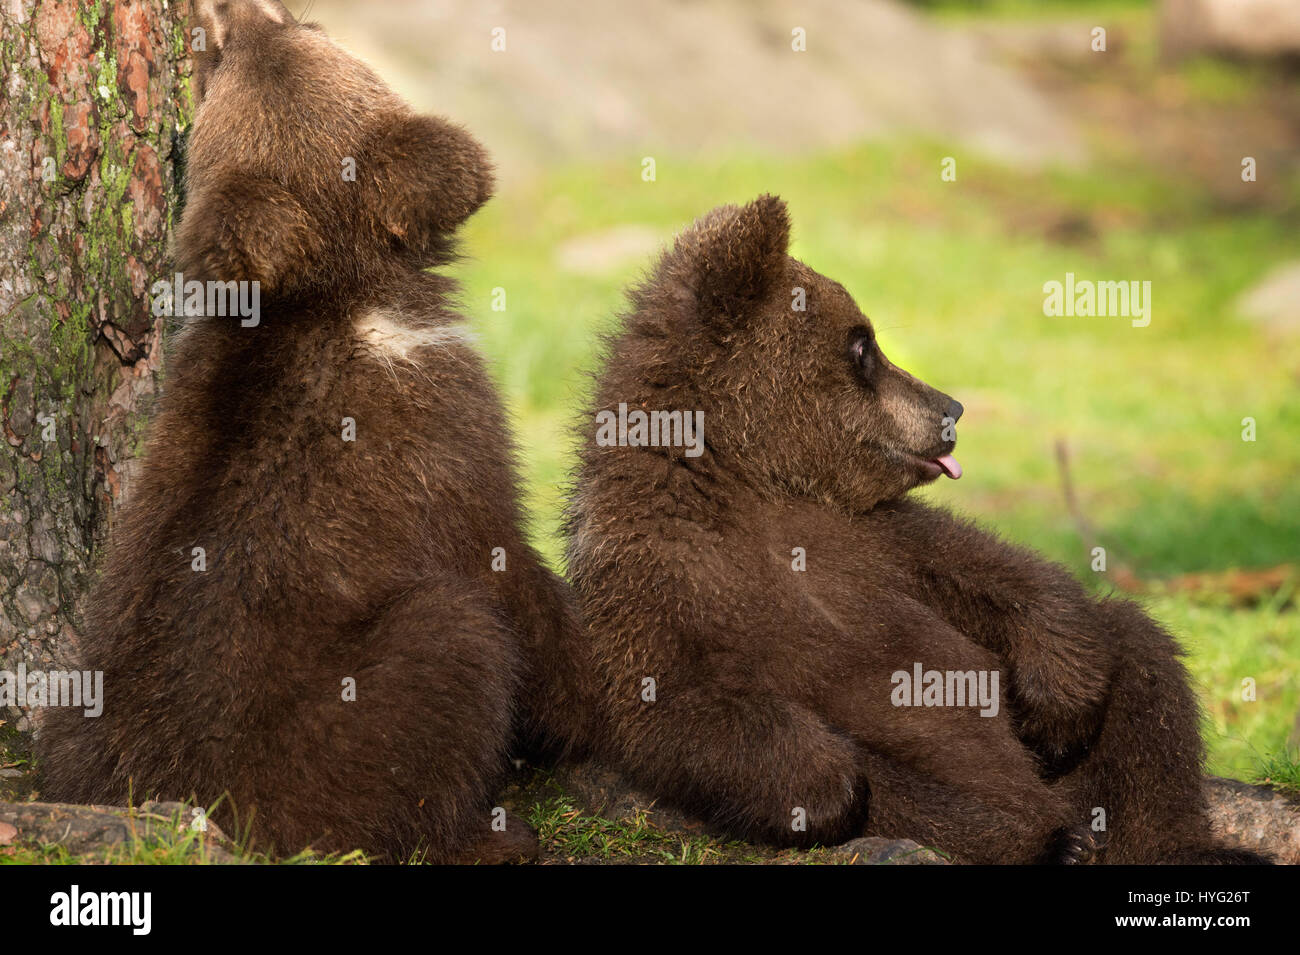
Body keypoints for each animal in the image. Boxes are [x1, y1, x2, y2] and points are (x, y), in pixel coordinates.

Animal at [37, 0, 581, 863]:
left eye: (289, 29)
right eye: (225, 59)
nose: (222, 10)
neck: (335, 288)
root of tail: (198, 811)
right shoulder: (445, 445)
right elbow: (511, 572)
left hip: (79, 711)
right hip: (338, 719)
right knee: (449, 656)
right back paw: (493, 831)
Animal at [560, 194, 1270, 864]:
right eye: (862, 346)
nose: (951, 407)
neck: (748, 479)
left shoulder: (874, 535)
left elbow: (995, 573)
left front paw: (1055, 711)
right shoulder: (657, 578)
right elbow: (675, 709)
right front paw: (826, 785)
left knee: (1136, 656)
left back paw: (1185, 844)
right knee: (923, 795)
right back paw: (1051, 842)